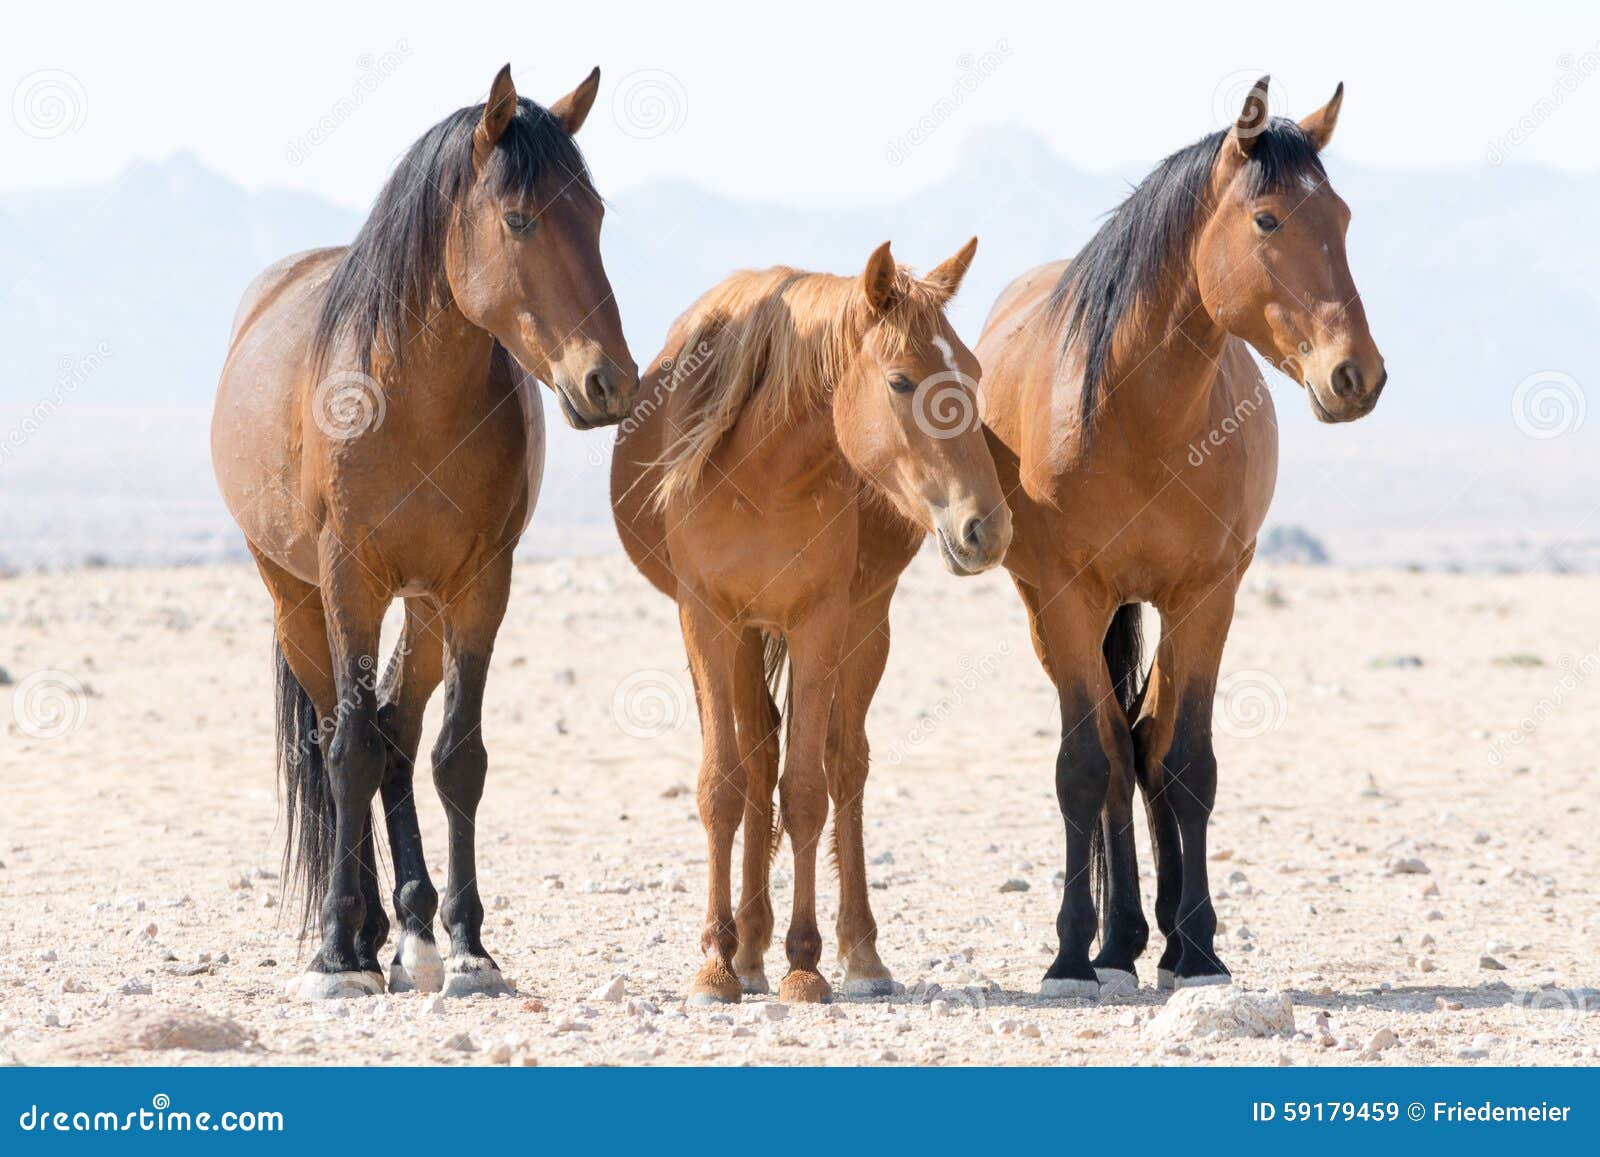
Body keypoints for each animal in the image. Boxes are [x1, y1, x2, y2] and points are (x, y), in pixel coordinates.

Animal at [210, 64, 639, 1000]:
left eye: (595, 213)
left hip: (428, 607)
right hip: (295, 597)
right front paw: (336, 955)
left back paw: (407, 928)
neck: (408, 399)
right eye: (518, 218)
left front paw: (471, 944)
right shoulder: (348, 582)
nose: (610, 382)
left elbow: (455, 756)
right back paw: (360, 929)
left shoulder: (480, 584)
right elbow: (348, 754)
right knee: (343, 737)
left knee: (398, 733)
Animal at [611, 240, 1012, 1003]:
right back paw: (746, 949)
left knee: (842, 762)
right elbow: (722, 785)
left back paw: (859, 953)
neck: (761, 473)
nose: (987, 528)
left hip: (865, 626)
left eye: (974, 374)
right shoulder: (707, 620)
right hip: (745, 638)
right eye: (902, 381)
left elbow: (805, 790)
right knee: (756, 757)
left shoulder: (822, 623)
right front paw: (715, 962)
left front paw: (805, 962)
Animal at [974, 78, 1386, 998]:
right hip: (1063, 616)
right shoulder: (1066, 598)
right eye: (1267, 219)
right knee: (1115, 752)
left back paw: (1153, 934)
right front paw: (1070, 956)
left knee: (1148, 742)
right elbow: (1085, 766)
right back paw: (1115, 939)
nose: (1357, 375)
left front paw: (1196, 951)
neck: (1142, 417)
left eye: (1342, 216)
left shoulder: (1208, 594)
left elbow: (1187, 764)